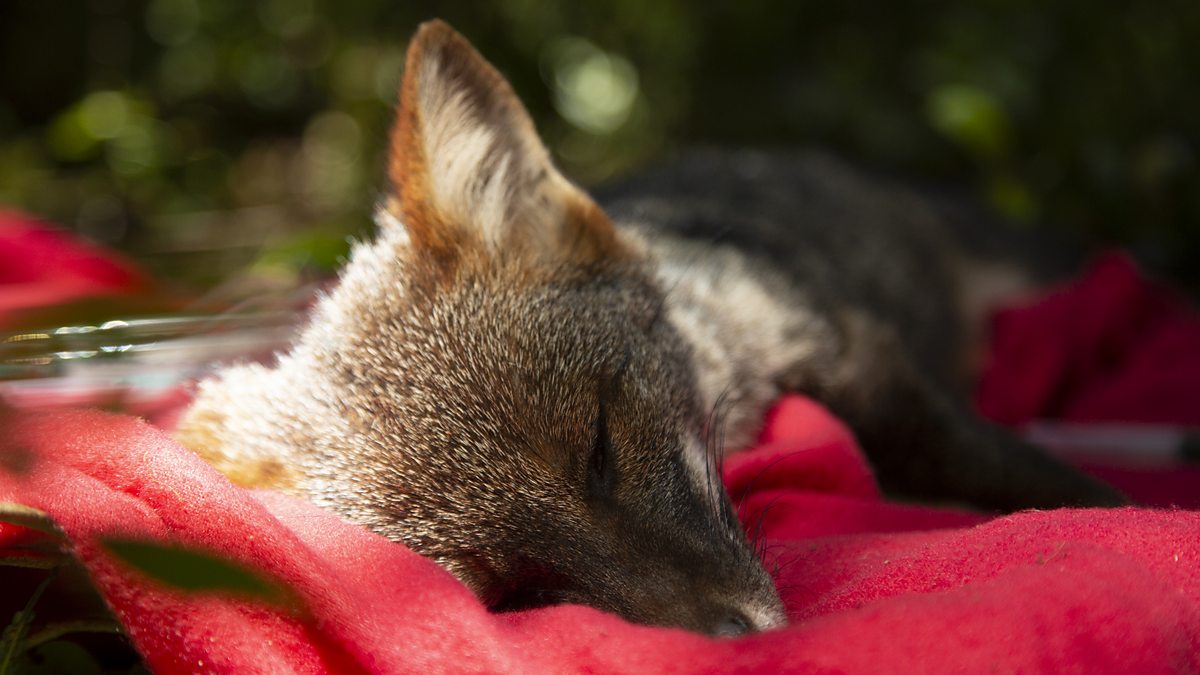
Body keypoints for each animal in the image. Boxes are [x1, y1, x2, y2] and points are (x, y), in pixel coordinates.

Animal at [175, 20, 1124, 637]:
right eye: (514, 590)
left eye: (599, 444)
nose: (736, 638)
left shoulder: (873, 369)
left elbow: (1015, 469)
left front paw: (1112, 506)